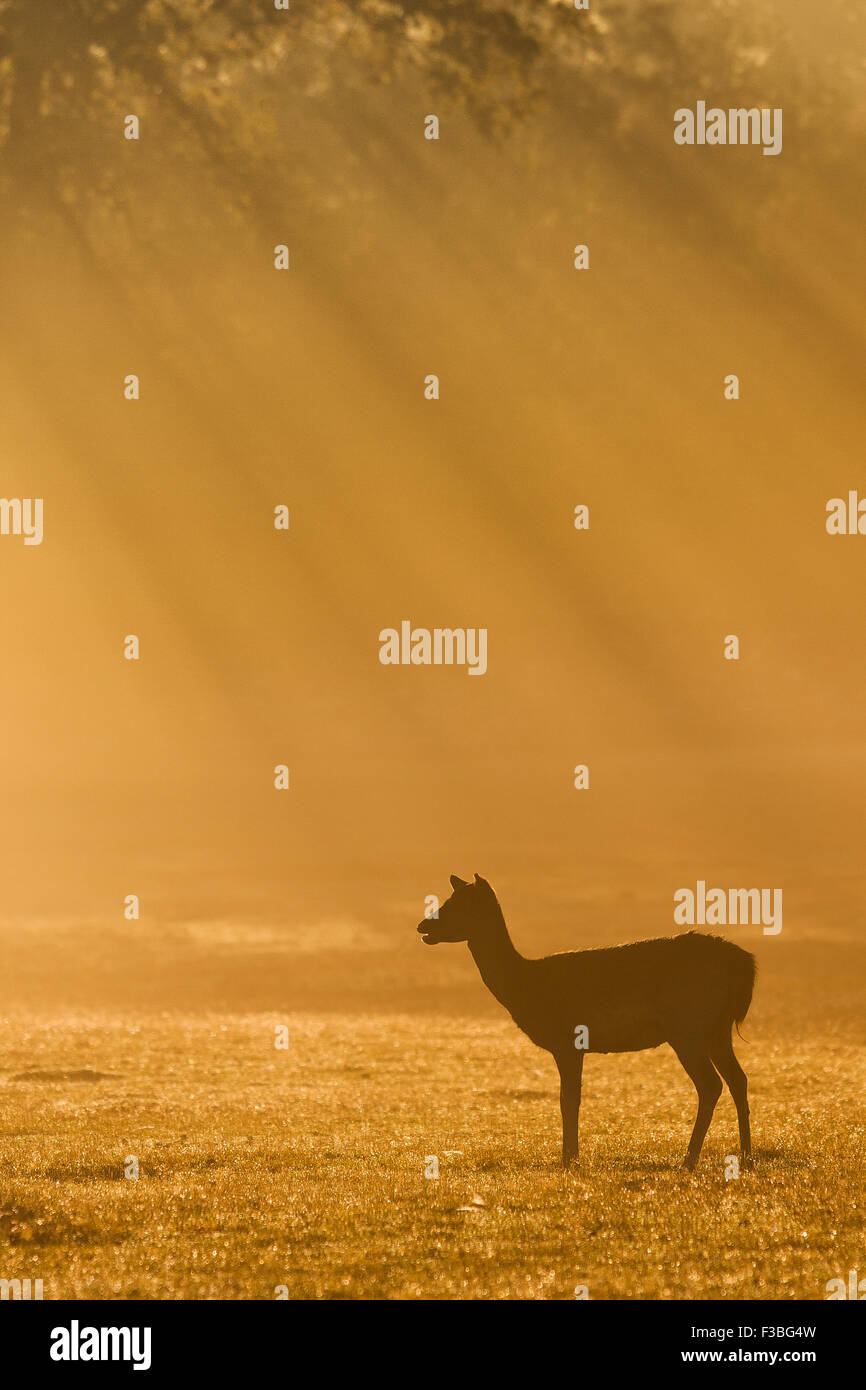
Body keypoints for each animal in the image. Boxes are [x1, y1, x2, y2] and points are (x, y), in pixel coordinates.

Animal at [417, 874, 756, 1171]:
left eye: (459, 904)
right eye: (449, 898)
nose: (423, 925)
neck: (524, 985)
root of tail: (743, 964)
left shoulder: (567, 1042)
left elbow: (568, 1100)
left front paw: (568, 1159)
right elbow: (572, 1099)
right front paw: (570, 1156)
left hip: (687, 1027)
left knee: (711, 1084)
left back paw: (688, 1161)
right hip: (717, 1029)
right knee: (738, 1079)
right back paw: (746, 1157)